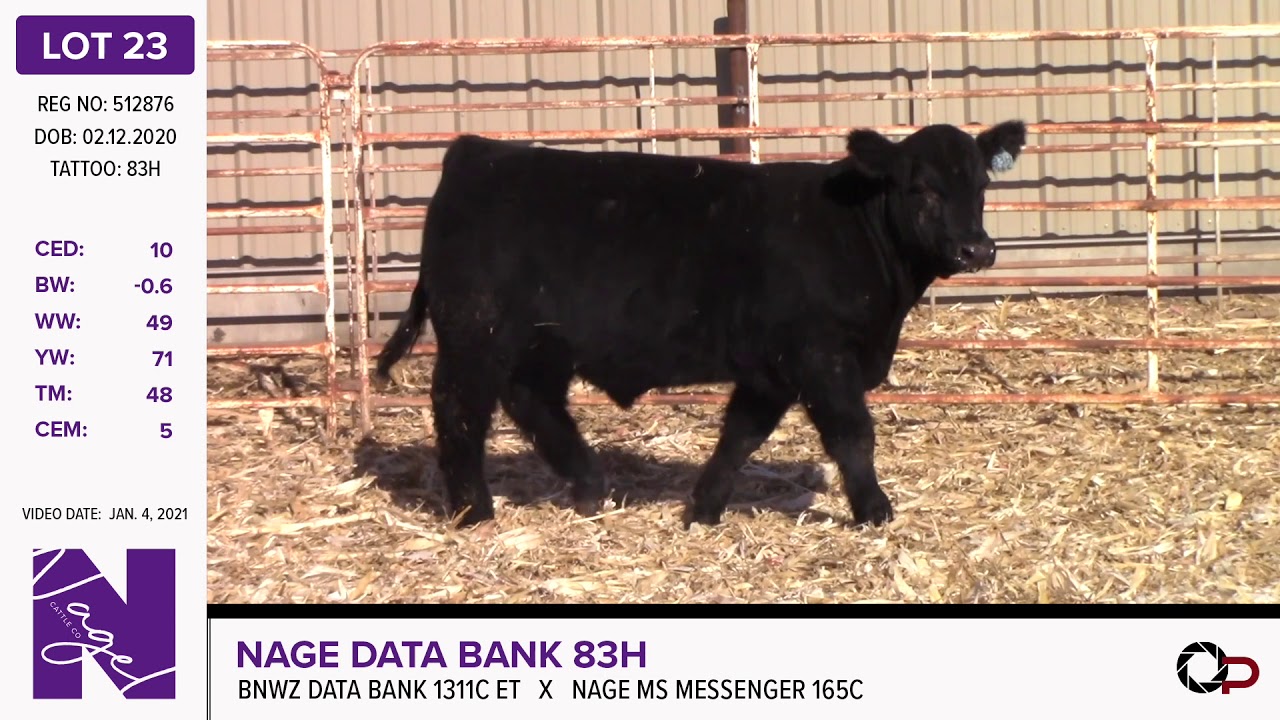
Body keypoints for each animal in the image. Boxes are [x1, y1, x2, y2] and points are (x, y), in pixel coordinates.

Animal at [375, 119, 1027, 529]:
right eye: (923, 189)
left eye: (981, 184)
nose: (977, 248)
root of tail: (475, 151)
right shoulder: (823, 356)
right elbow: (852, 435)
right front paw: (874, 510)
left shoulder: (771, 371)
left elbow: (739, 437)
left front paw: (704, 509)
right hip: (475, 336)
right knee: (460, 412)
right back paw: (474, 511)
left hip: (539, 343)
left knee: (532, 402)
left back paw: (590, 486)